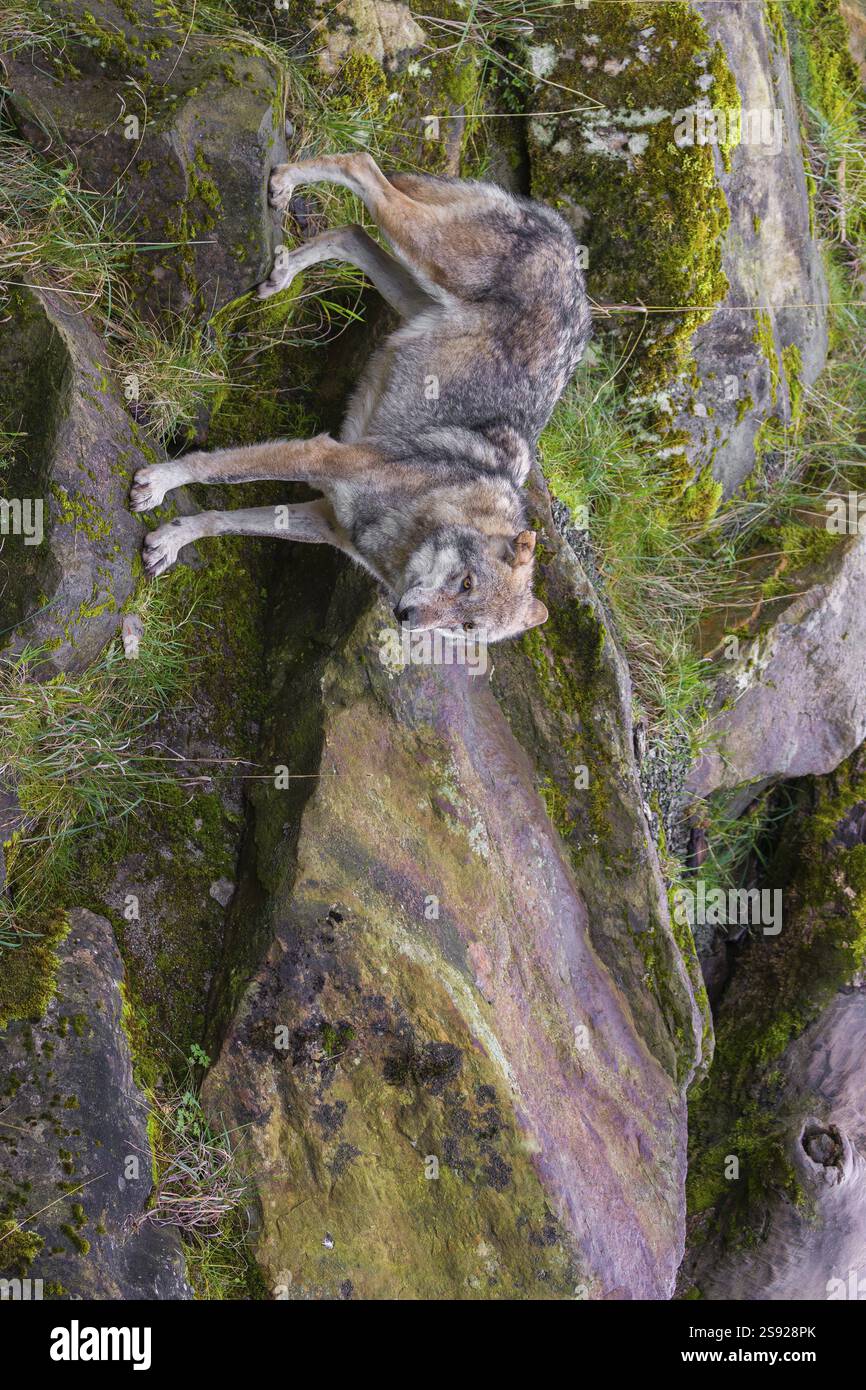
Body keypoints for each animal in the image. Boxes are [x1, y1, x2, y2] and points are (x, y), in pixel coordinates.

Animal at [130, 153, 591, 642]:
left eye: (466, 627)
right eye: (466, 583)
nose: (408, 619)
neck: (433, 506)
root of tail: (564, 236)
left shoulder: (326, 520)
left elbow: (221, 519)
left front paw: (172, 539)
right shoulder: (323, 455)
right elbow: (212, 468)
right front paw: (160, 482)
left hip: (412, 297)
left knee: (350, 233)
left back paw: (283, 272)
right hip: (420, 246)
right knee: (363, 167)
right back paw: (285, 183)